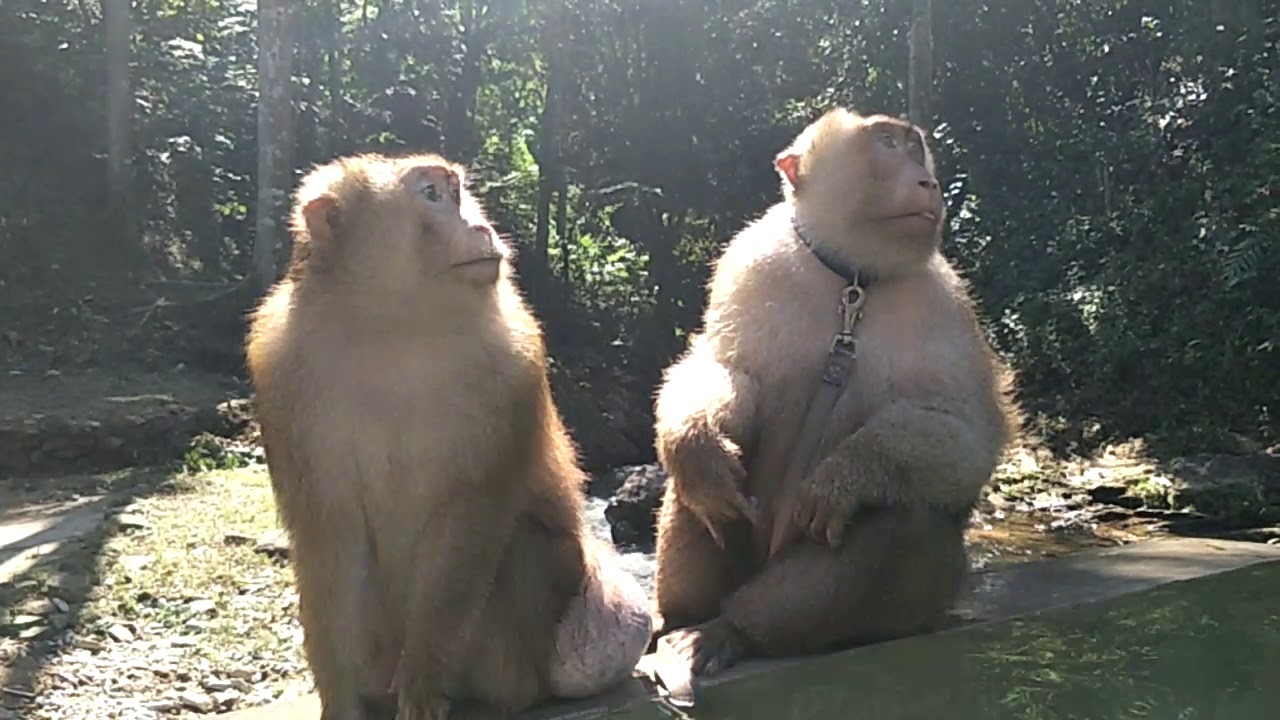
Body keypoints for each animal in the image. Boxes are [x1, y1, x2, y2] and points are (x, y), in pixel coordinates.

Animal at [244, 152, 652, 720]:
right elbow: (331, 530)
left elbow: (470, 514)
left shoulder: (513, 364)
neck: (395, 330)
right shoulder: (284, 369)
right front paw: (341, 699)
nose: (481, 226)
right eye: (433, 194)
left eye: (456, 192)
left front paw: (421, 680)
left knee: (519, 544)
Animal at [649, 107, 1019, 680]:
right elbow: (730, 369)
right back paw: (681, 617)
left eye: (914, 147)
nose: (928, 182)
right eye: (887, 143)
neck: (853, 282)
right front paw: (696, 443)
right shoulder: (753, 263)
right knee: (711, 491)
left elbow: (967, 436)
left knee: (910, 525)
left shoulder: (944, 301)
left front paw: (844, 476)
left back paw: (735, 629)